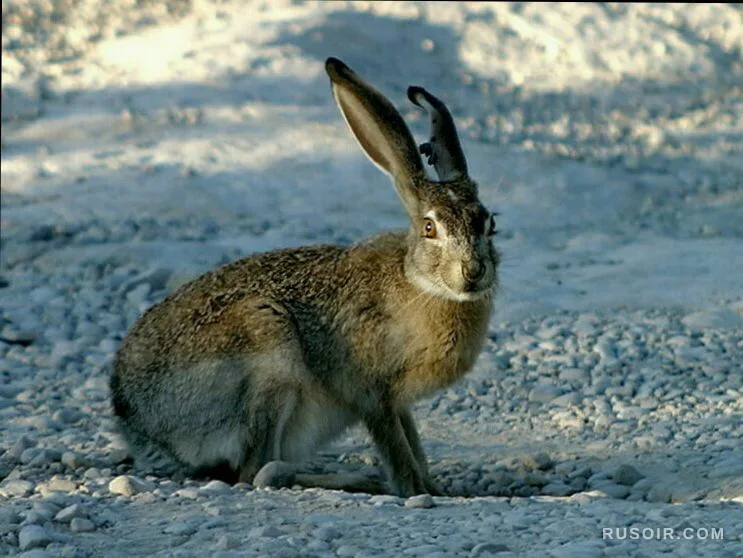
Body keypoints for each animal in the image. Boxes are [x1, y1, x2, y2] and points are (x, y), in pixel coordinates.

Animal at [110, 57, 500, 497]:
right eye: (430, 228)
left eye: (490, 224)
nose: (473, 273)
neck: (418, 282)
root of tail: (137, 424)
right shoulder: (372, 394)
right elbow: (398, 452)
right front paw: (413, 490)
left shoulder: (399, 403)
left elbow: (414, 443)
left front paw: (434, 487)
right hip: (268, 350)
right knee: (256, 472)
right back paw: (359, 481)